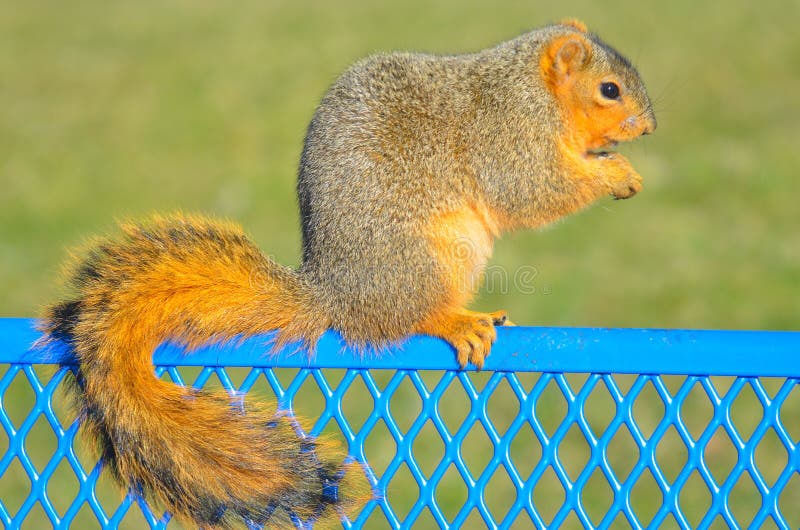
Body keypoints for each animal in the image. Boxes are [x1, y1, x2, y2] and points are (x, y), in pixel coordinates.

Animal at [39, 19, 655, 529]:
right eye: (609, 90)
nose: (648, 129)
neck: (531, 90)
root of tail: (336, 297)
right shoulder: (508, 139)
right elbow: (534, 190)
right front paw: (616, 174)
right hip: (428, 260)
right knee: (405, 320)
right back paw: (456, 322)